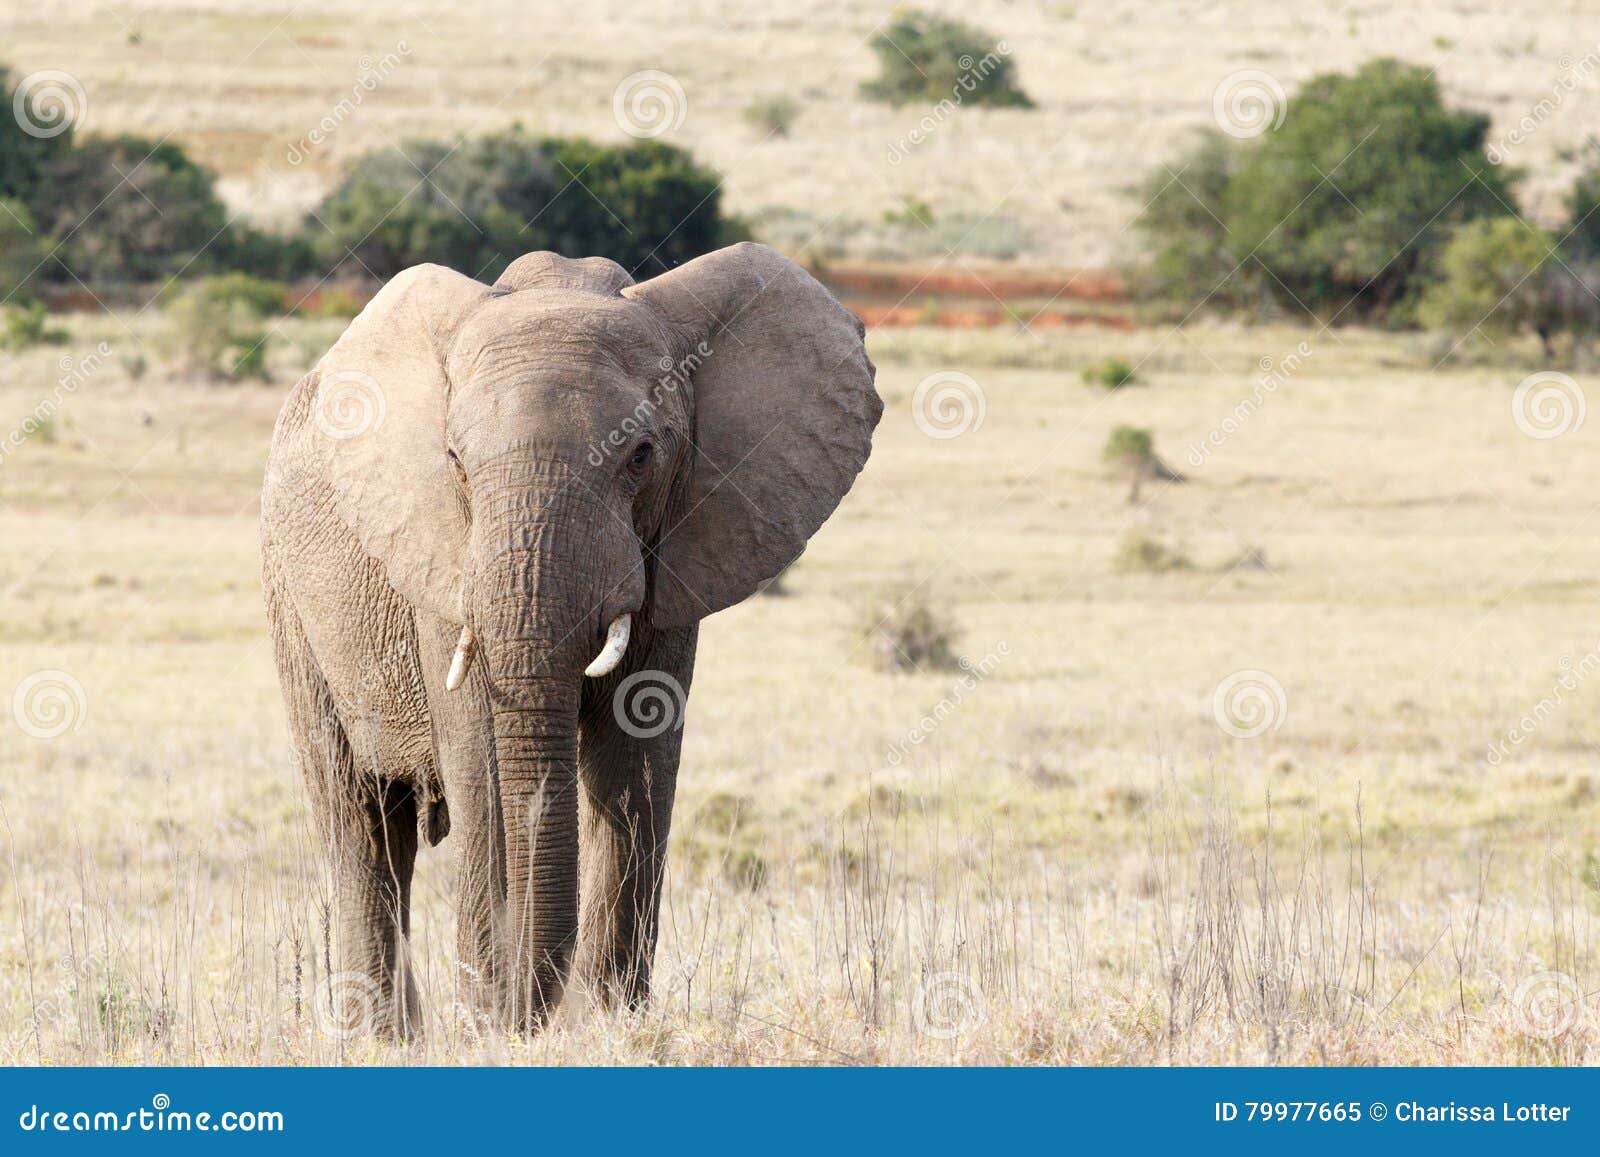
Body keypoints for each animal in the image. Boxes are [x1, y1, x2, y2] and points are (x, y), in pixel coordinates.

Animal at [259, 242, 881, 1035]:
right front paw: (494, 1028)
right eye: (455, 461)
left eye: (640, 454)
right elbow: (485, 760)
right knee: (358, 819)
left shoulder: (675, 554)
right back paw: (381, 1039)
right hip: (290, 596)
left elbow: (635, 758)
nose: (534, 1013)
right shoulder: (442, 557)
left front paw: (610, 1023)